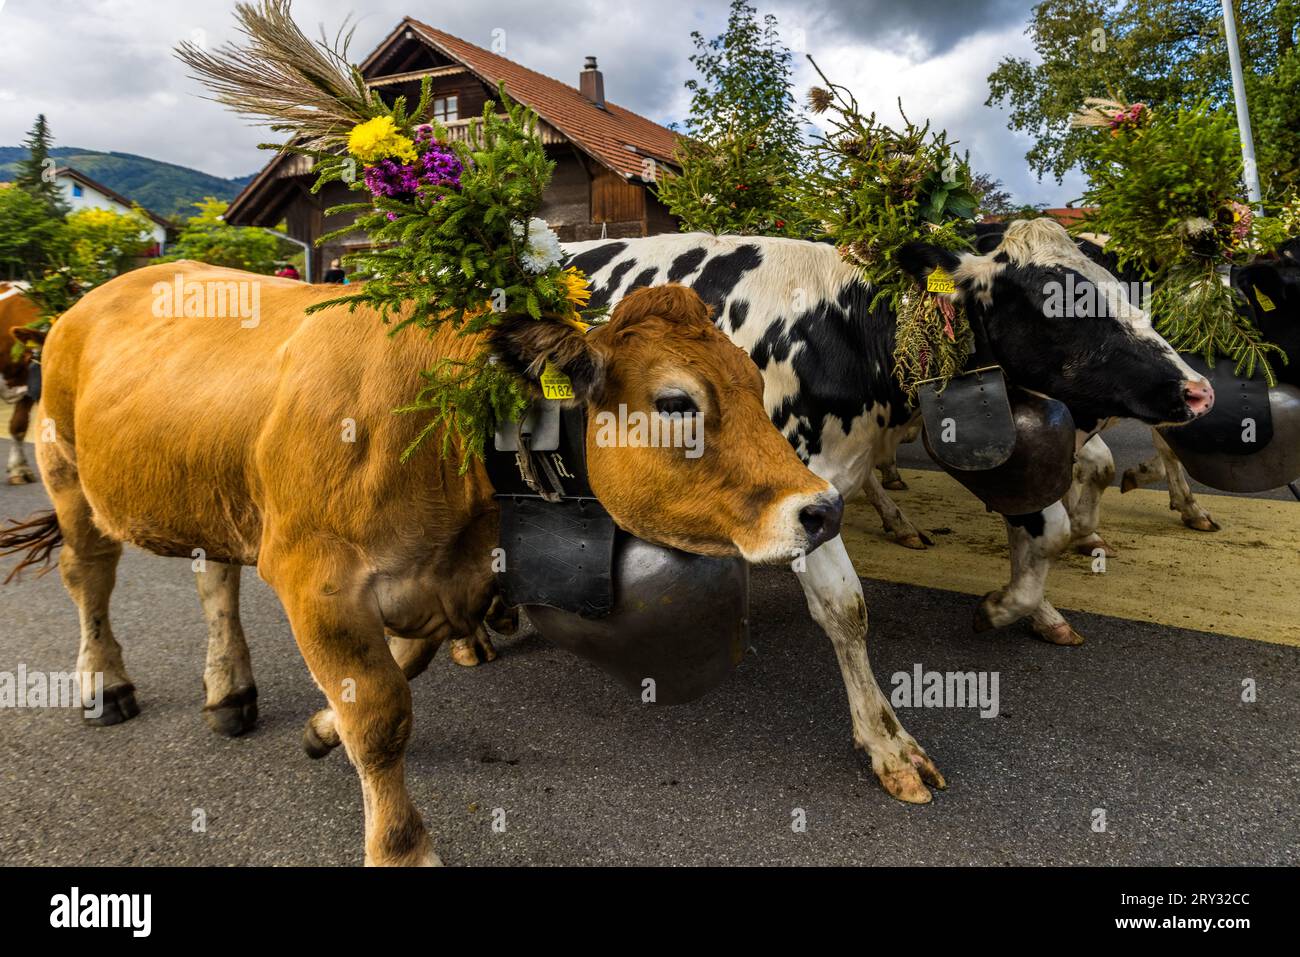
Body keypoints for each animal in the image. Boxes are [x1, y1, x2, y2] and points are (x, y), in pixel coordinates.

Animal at [0, 262, 844, 866]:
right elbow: (380, 712)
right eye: (676, 403)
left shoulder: (444, 581)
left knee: (215, 577)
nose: (824, 507)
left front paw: (320, 728)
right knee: (88, 574)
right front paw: (401, 846)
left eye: (754, 380)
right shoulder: (315, 578)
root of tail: (88, 299)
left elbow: (402, 668)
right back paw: (105, 682)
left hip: (213, 492)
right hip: (65, 468)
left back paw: (229, 689)